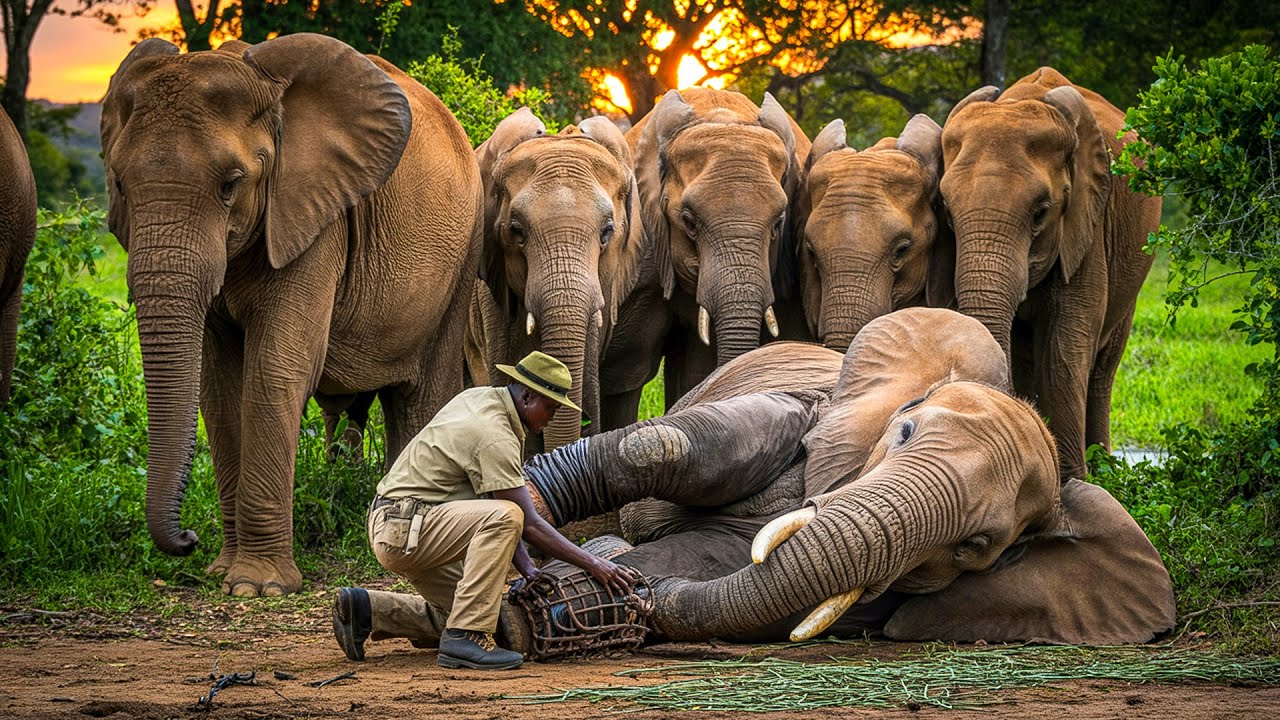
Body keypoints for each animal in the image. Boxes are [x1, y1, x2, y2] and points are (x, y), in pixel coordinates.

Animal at [100, 34, 482, 597]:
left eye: (231, 184)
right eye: (121, 185)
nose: (187, 538)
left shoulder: (317, 217)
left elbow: (276, 367)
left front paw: (256, 587)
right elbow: (219, 385)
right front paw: (223, 573)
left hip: (464, 253)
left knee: (421, 393)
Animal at [507, 308, 1175, 647]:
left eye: (976, 548)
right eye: (904, 430)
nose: (651, 597)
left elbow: (720, 573)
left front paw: (629, 583)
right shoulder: (814, 408)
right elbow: (667, 448)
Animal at [938, 67, 1162, 480]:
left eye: (1041, 212)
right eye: (945, 209)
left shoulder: (1088, 226)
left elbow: (1064, 350)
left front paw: (1072, 480)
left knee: (1102, 368)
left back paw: (1103, 469)